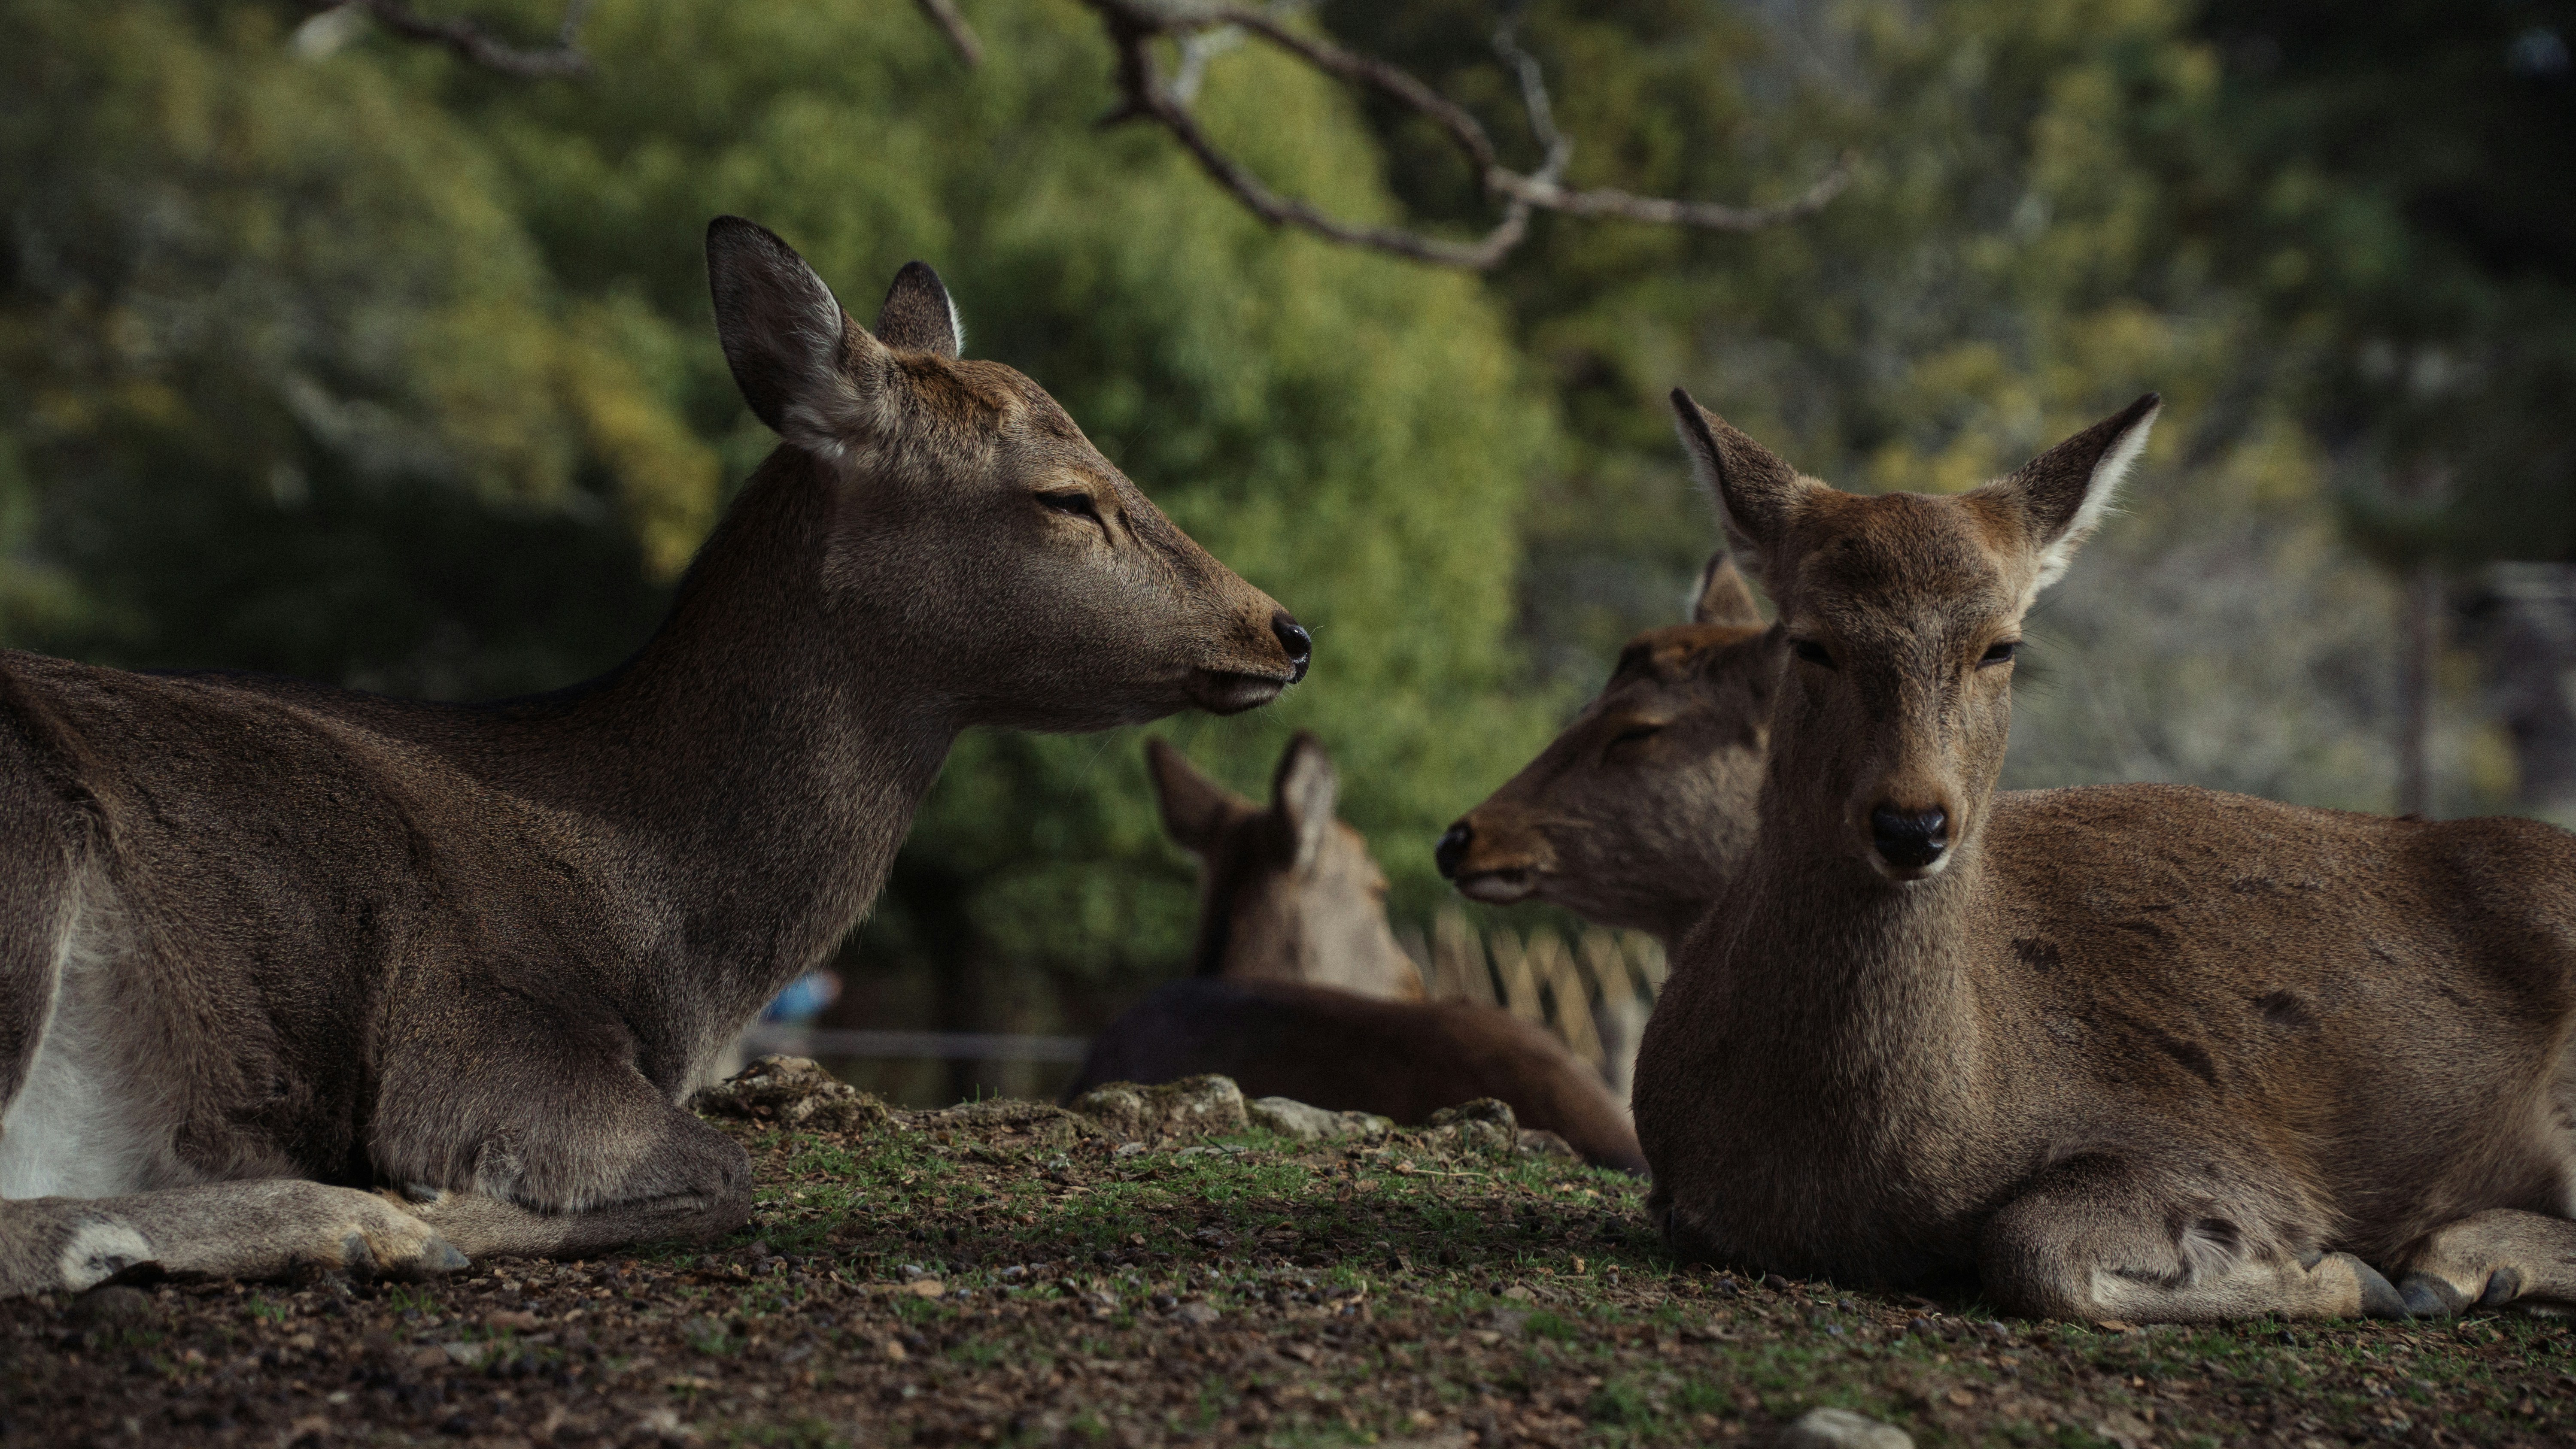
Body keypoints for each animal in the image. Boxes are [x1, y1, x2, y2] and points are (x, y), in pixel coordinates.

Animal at [0, 217, 1311, 1298]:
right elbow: (723, 1172)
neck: (670, 944)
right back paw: (311, 1229)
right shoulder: (473, 1037)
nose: (1284, 631)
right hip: (29, 875)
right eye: (1065, 496)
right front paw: (423, 1208)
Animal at [1632, 389, 2576, 1322]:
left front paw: (2336, 1270)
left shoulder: (2225, 1149)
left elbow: (2031, 1241)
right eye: (1811, 640)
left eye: (2002, 645)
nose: (1912, 824)